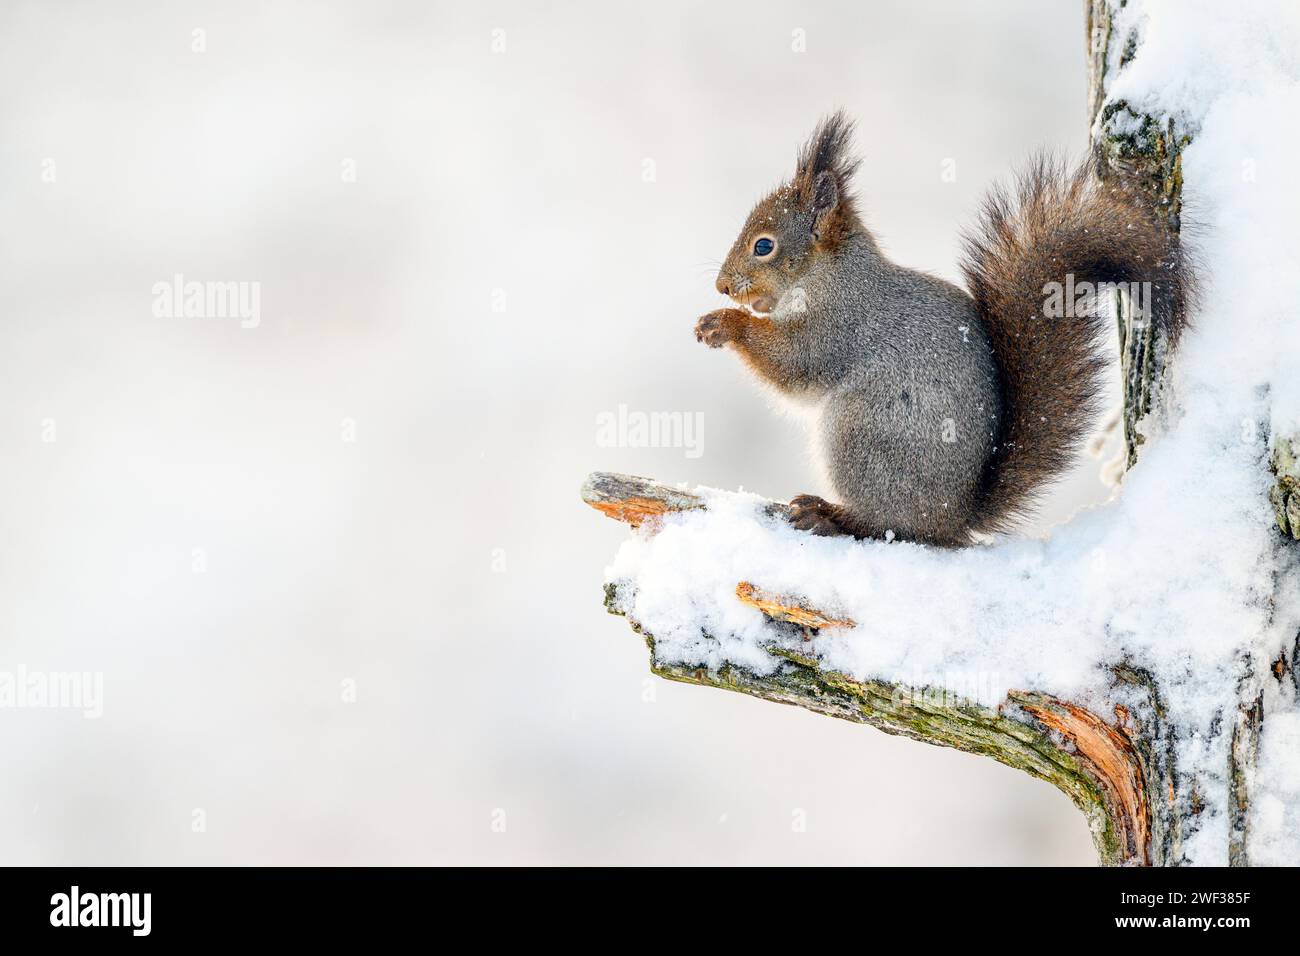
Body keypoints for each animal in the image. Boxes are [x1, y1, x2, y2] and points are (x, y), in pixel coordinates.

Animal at [694, 111, 1193, 547]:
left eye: (764, 246)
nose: (722, 286)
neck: (827, 274)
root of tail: (953, 518)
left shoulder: (839, 324)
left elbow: (793, 364)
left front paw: (725, 324)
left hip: (861, 437)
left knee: (888, 525)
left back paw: (831, 515)